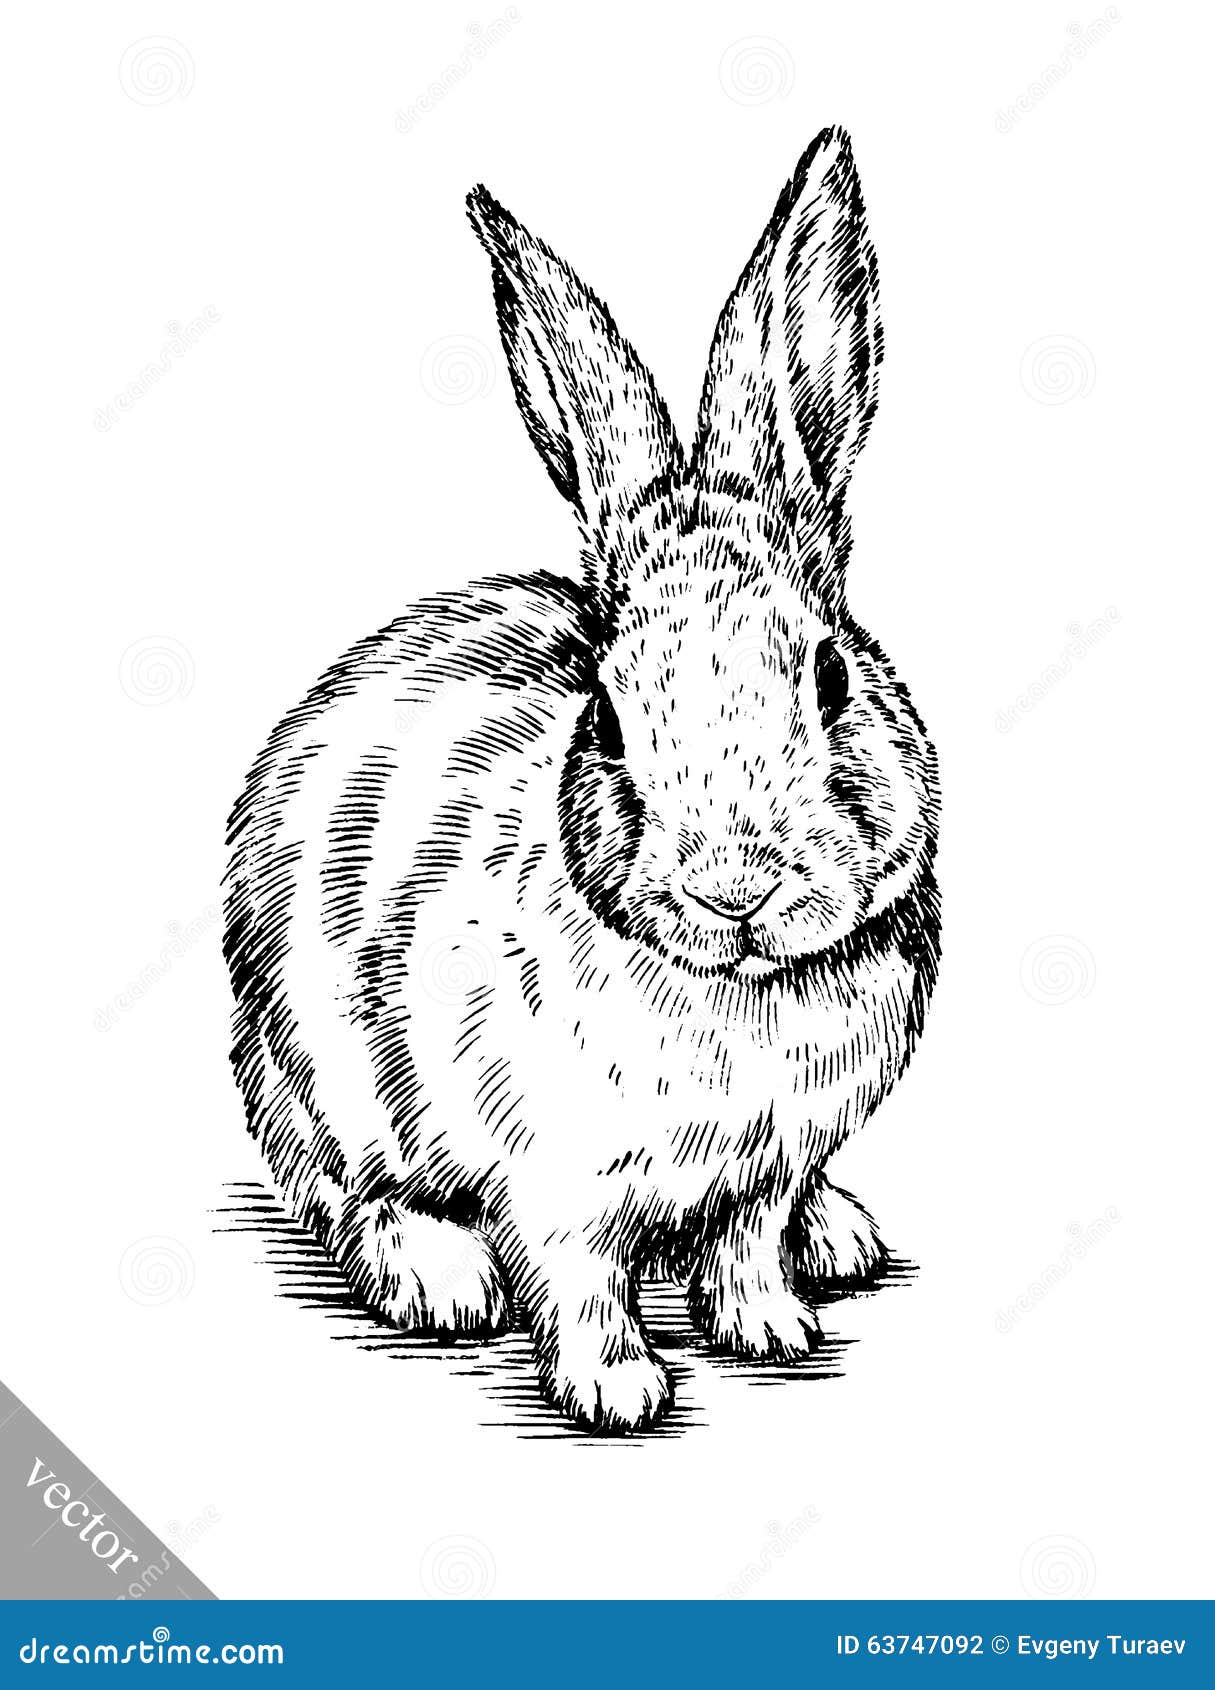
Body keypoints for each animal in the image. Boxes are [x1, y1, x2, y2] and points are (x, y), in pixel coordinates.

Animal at [223, 126, 941, 1434]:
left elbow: (748, 1241)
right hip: (312, 1080)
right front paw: (620, 1391)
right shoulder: (555, 1183)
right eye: (606, 712)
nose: (734, 890)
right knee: (346, 1197)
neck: (739, 998)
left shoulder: (769, 1165)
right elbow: (581, 1278)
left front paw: (769, 1329)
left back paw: (838, 1236)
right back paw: (439, 1278)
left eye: (830, 677)